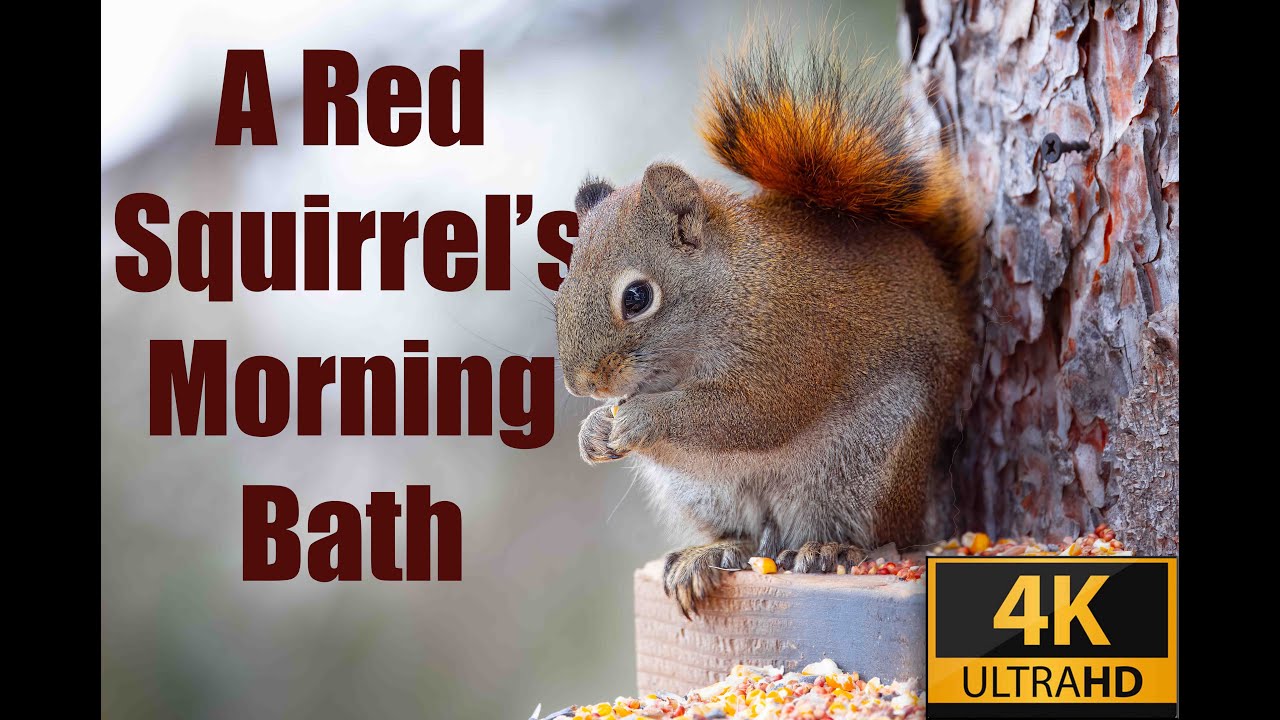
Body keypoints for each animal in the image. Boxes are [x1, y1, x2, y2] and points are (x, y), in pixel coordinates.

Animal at [555, 34, 979, 617]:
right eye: (561, 289)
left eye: (637, 297)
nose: (583, 384)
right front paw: (593, 431)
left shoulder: (792, 341)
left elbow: (753, 412)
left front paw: (641, 419)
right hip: (702, 490)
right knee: (742, 535)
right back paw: (708, 553)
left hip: (870, 461)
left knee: (879, 531)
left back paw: (831, 547)